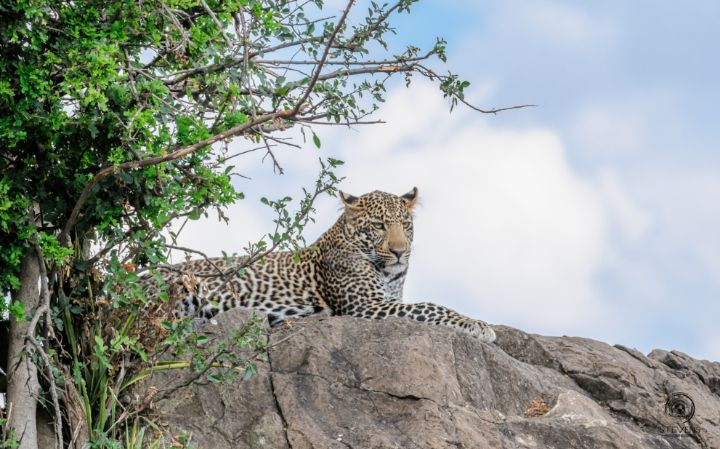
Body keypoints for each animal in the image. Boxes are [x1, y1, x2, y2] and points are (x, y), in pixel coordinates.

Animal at [141, 188, 496, 342]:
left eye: (405, 225)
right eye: (380, 225)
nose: (400, 252)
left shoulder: (388, 300)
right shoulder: (367, 307)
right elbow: (432, 307)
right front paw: (478, 325)